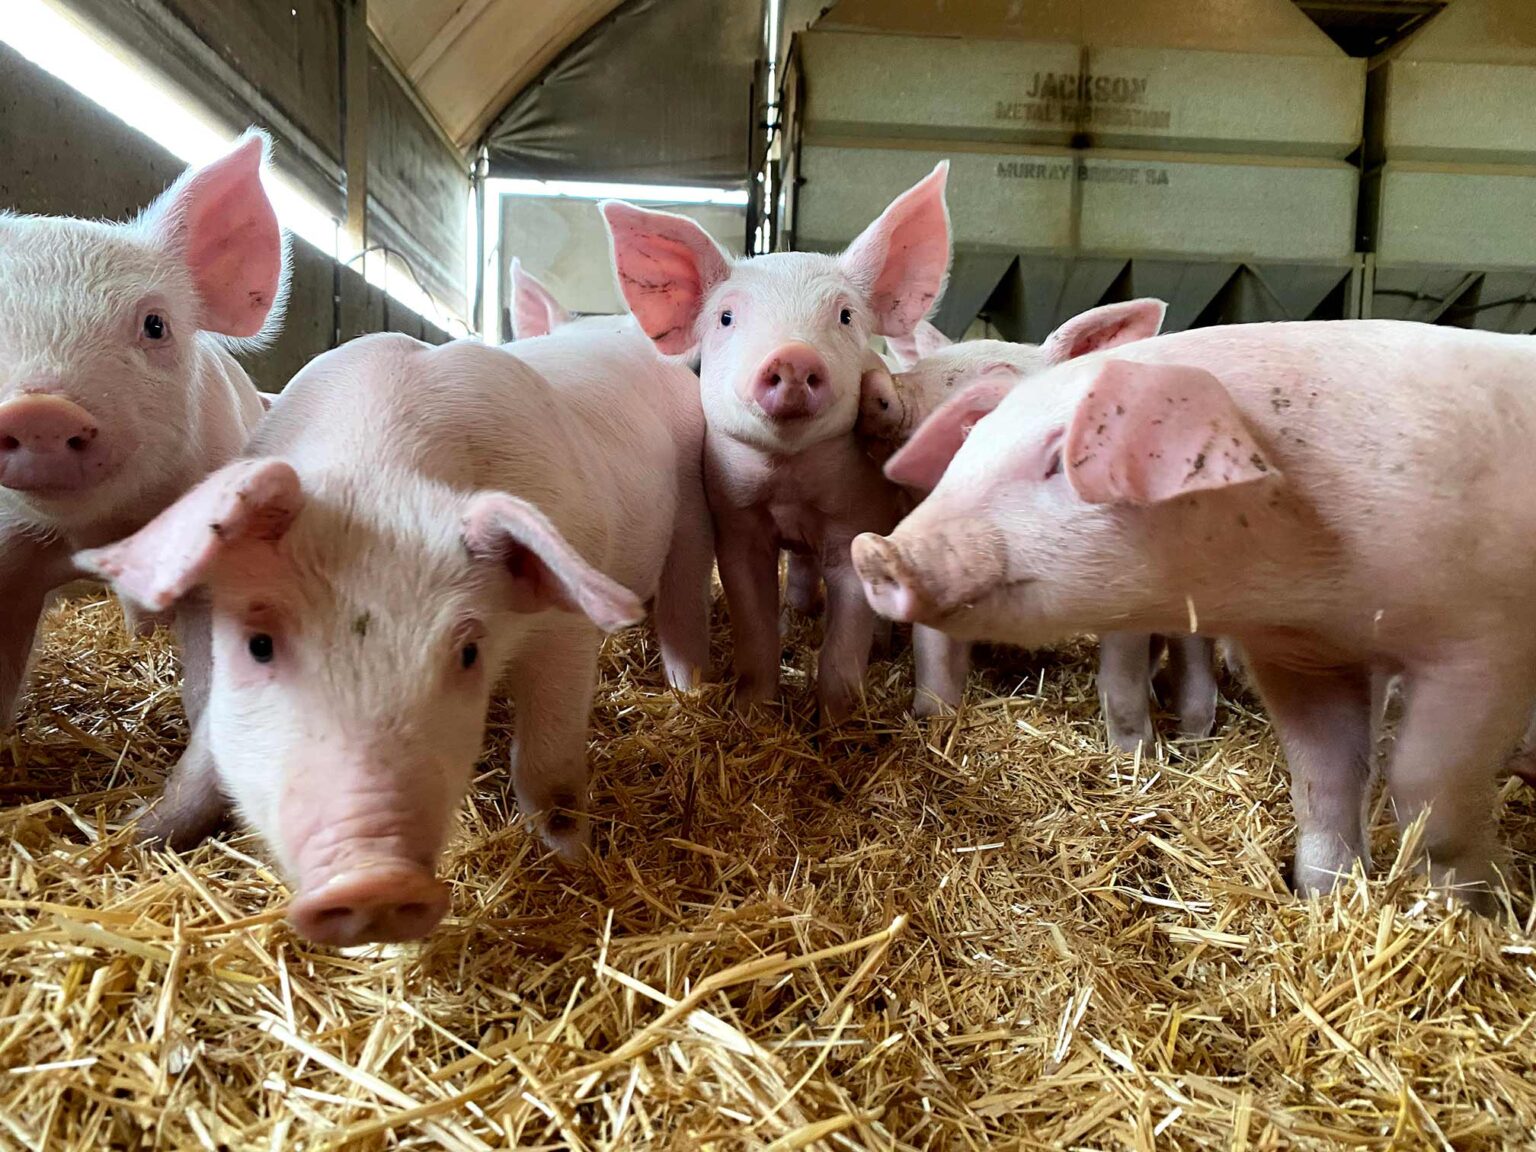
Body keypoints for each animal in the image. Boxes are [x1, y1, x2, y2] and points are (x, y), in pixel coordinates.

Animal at [76, 329, 708, 946]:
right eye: (258, 644)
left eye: (467, 652)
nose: (373, 879)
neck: (379, 482)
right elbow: (203, 756)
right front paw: (127, 840)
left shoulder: (564, 628)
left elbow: (548, 771)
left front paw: (574, 866)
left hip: (692, 512)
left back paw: (688, 690)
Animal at [601, 164, 968, 721]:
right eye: (726, 318)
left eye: (845, 316)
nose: (793, 356)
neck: (790, 480)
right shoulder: (736, 524)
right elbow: (753, 619)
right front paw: (754, 709)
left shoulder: (855, 520)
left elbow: (845, 633)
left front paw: (835, 719)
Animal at [858, 300, 1219, 749]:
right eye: (922, 366)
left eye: (1000, 376)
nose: (880, 384)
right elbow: (935, 660)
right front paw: (932, 725)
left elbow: (1122, 676)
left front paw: (1133, 754)